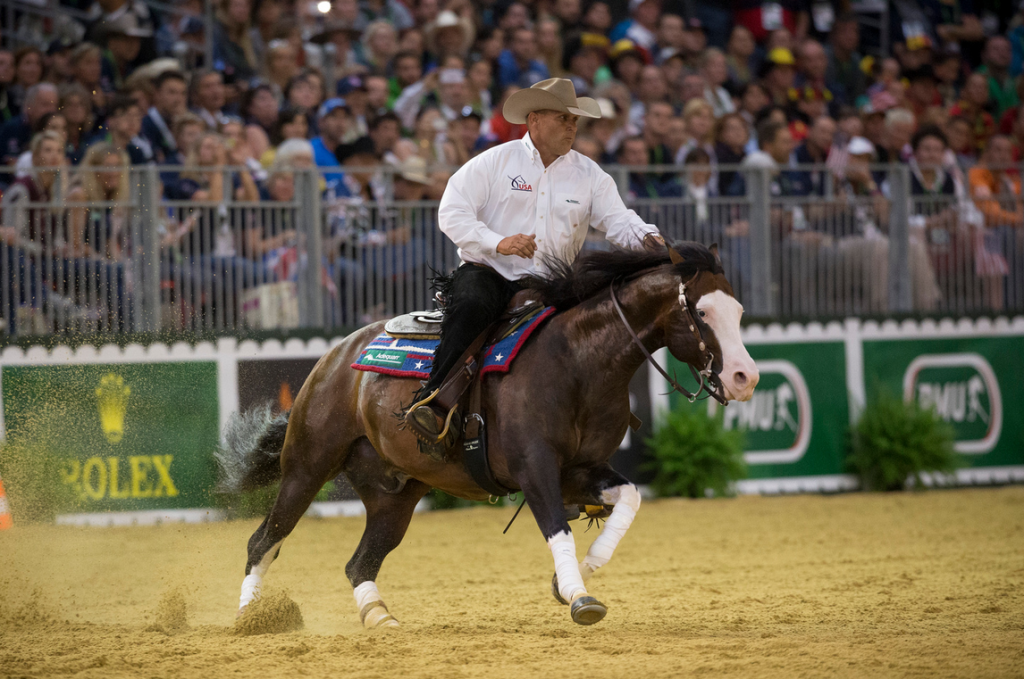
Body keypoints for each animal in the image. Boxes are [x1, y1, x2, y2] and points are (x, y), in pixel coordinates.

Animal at [218, 241, 759, 628]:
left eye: (738, 311)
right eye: (702, 313)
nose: (745, 377)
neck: (577, 361)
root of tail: (334, 357)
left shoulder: (580, 470)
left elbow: (629, 499)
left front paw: (577, 575)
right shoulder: (534, 467)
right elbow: (557, 528)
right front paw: (579, 596)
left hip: (394, 496)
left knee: (360, 563)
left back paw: (378, 616)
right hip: (307, 466)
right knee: (264, 540)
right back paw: (250, 618)